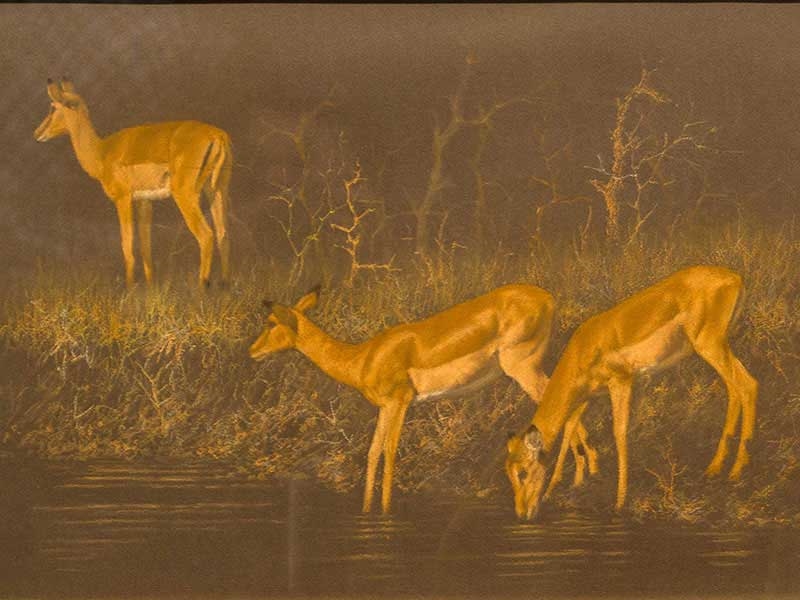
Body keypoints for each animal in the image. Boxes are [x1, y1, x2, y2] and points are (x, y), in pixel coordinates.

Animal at [34, 78, 232, 288]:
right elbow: (146, 246)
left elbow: (126, 245)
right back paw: (224, 286)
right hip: (217, 190)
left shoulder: (123, 199)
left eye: (53, 107)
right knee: (223, 234)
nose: (37, 133)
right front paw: (150, 288)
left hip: (186, 195)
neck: (101, 153)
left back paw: (202, 287)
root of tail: (217, 135)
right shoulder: (144, 202)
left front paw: (129, 289)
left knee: (206, 235)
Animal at [250, 285, 598, 514]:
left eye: (271, 323)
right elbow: (373, 453)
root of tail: (548, 298)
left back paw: (573, 483)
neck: (362, 358)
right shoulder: (384, 407)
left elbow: (389, 452)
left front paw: (386, 511)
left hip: (523, 368)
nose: (252, 351)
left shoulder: (400, 402)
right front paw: (366, 511)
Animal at [506, 265, 757, 520]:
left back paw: (737, 472)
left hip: (709, 345)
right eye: (508, 473)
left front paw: (619, 502)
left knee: (748, 385)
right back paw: (715, 469)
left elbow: (619, 432)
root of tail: (735, 277)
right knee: (734, 389)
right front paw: (561, 489)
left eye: (523, 472)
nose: (521, 513)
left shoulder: (621, 381)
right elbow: (569, 431)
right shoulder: (587, 397)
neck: (583, 348)